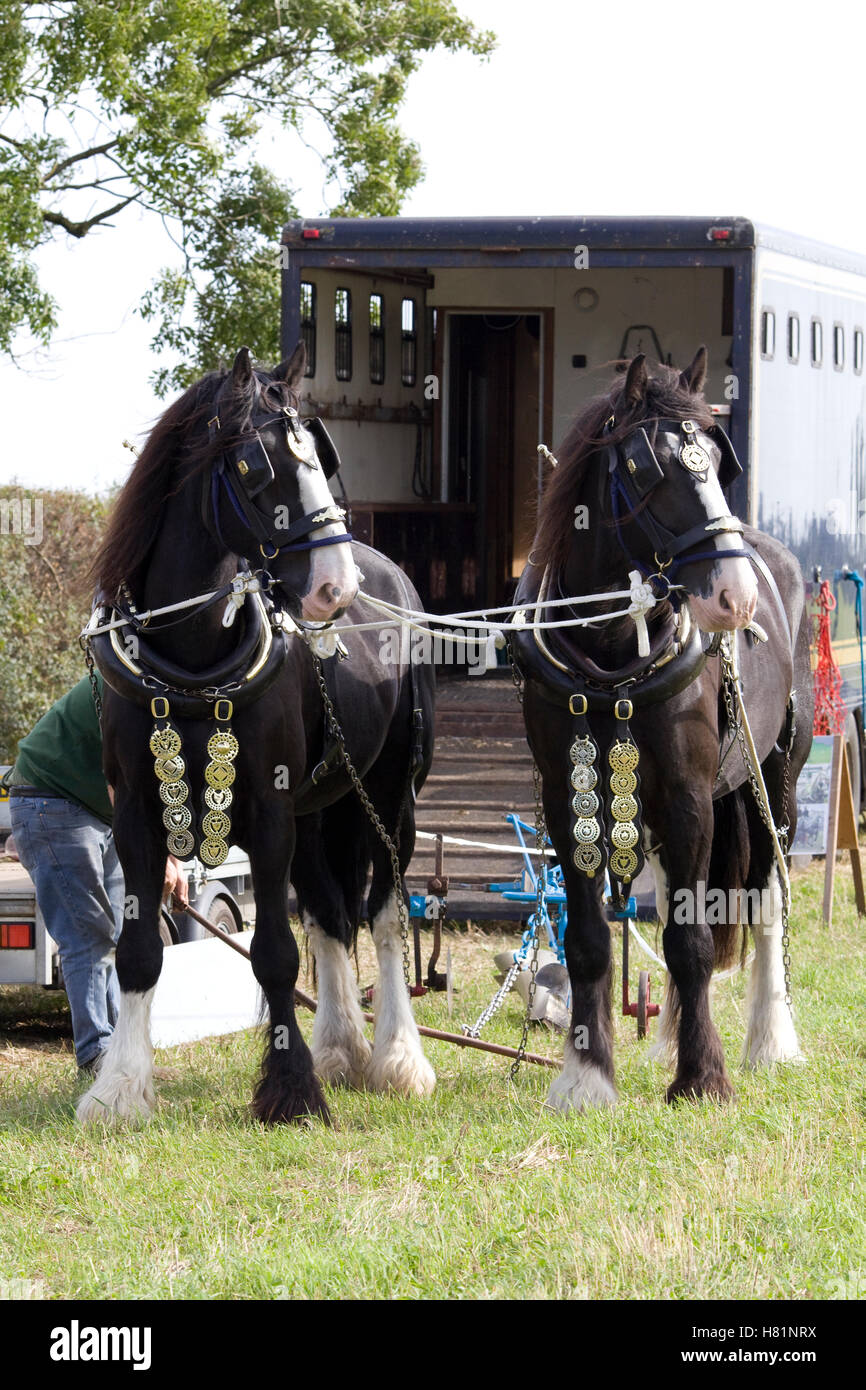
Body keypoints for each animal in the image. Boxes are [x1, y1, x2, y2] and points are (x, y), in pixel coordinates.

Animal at [76, 343, 436, 1126]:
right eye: (252, 465)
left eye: (321, 453)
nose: (333, 586)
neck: (190, 662)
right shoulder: (135, 816)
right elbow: (138, 950)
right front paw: (120, 1088)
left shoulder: (270, 814)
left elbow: (273, 952)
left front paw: (291, 1088)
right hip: (320, 809)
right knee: (331, 914)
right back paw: (339, 1048)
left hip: (389, 796)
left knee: (383, 915)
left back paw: (398, 1058)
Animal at [512, 347, 813, 1110]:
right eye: (649, 468)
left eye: (716, 457)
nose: (735, 596)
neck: (610, 652)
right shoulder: (567, 796)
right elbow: (589, 940)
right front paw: (586, 1076)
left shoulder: (687, 794)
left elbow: (691, 942)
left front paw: (703, 1077)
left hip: (776, 776)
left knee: (765, 899)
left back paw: (770, 1040)